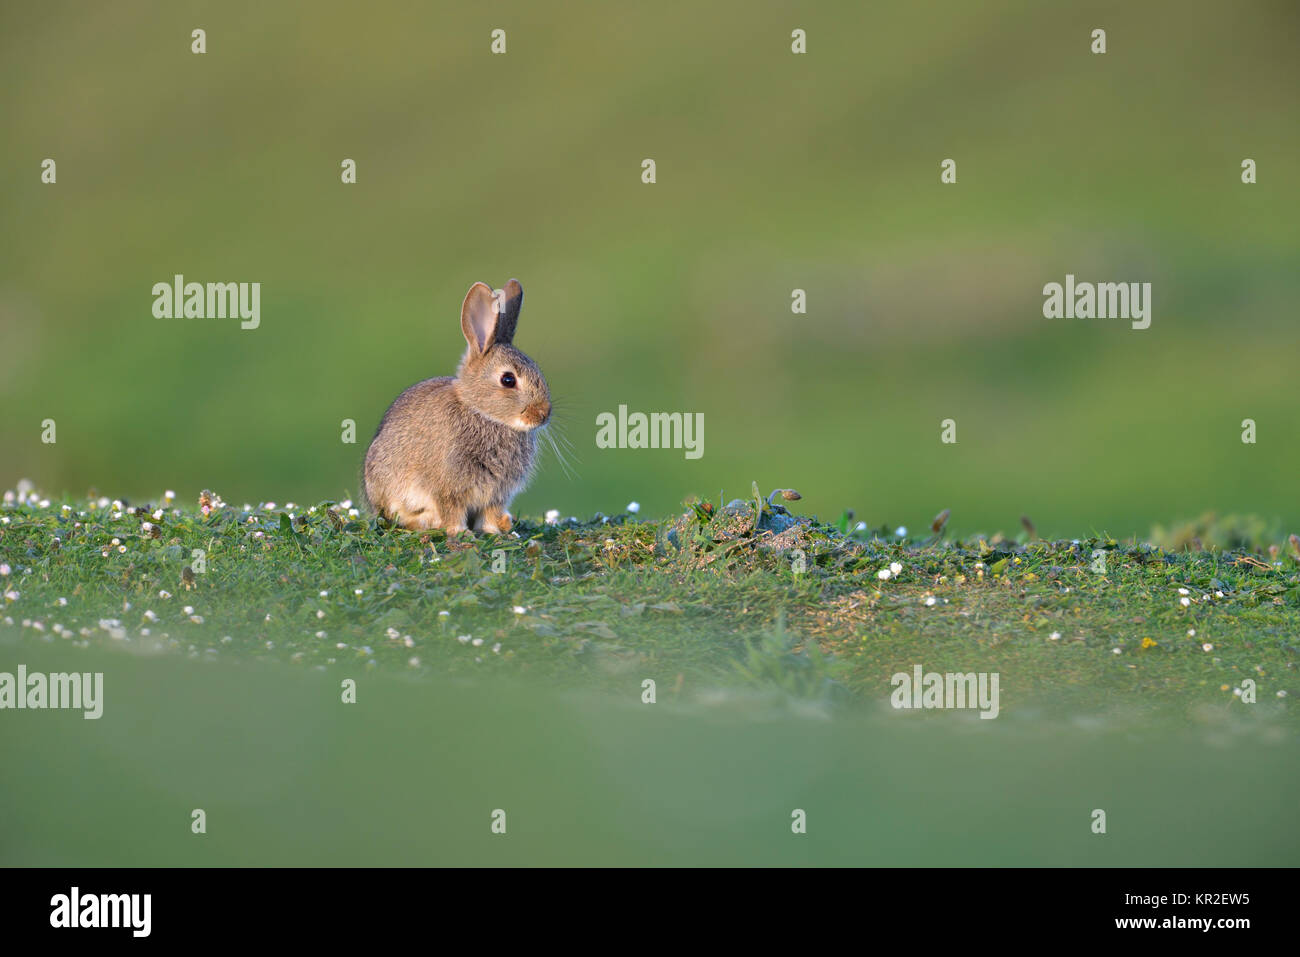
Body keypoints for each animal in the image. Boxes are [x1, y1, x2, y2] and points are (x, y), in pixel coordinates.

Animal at [363, 278, 551, 534]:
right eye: (508, 380)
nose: (544, 414)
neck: (482, 413)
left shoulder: (496, 494)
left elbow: (489, 514)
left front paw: (494, 532)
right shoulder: (447, 487)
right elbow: (451, 509)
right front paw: (461, 532)